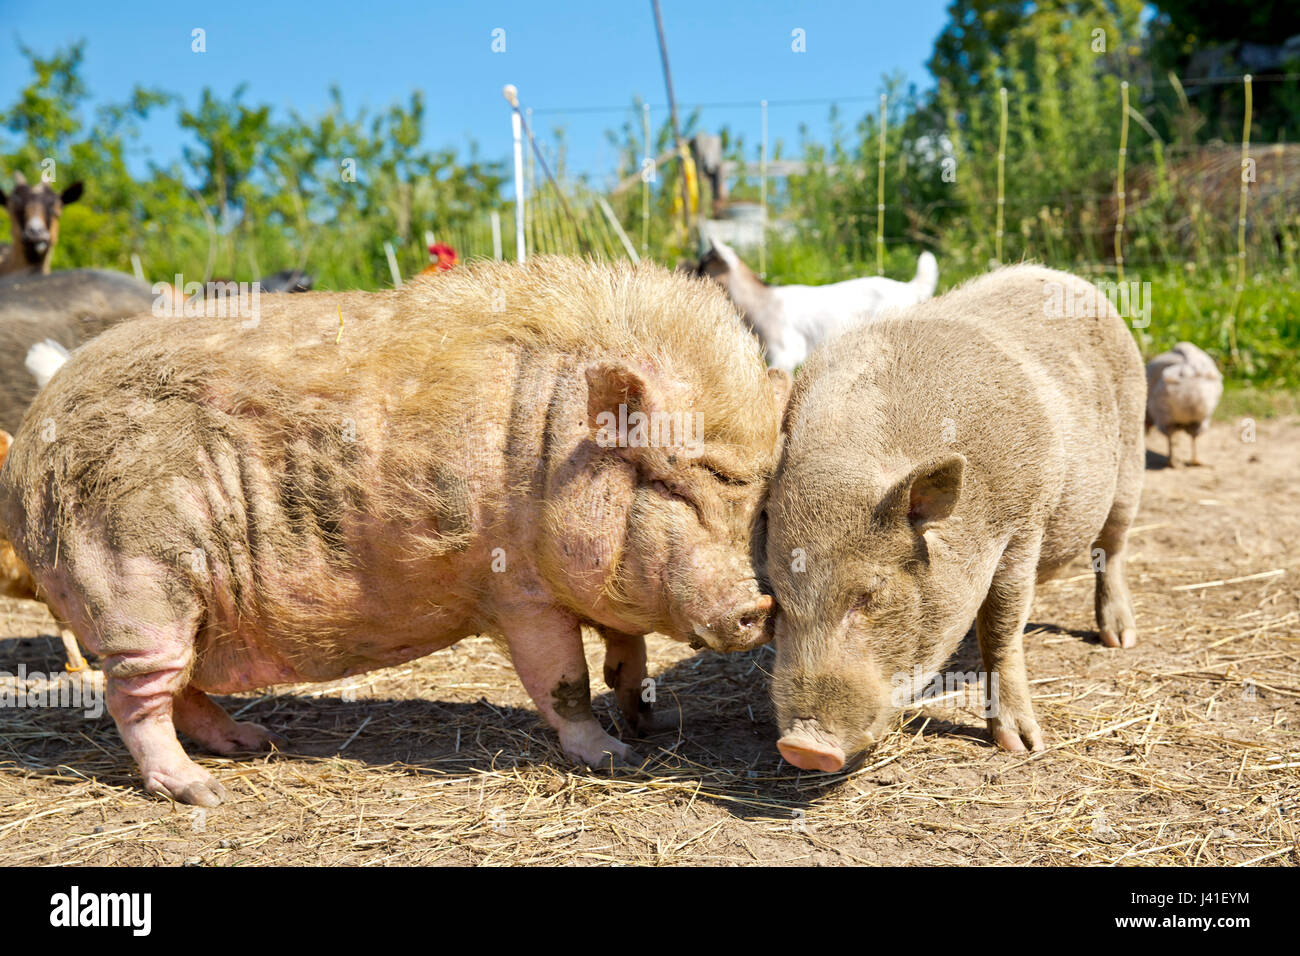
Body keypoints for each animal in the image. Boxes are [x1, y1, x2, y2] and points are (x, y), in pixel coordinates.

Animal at [0, 257, 787, 805]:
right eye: (672, 482)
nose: (758, 605)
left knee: (182, 690)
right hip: (135, 585)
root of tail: (30, 444)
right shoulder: (520, 594)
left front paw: (647, 724)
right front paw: (615, 758)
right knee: (134, 697)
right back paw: (202, 792)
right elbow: (565, 681)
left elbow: (630, 656)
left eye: (758, 496)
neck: (554, 452)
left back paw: (254, 742)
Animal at [765, 265, 1145, 772]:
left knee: (1113, 548)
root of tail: (1064, 277)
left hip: (1131, 457)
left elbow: (1001, 629)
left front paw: (1023, 746)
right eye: (777, 598)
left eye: (870, 593)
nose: (803, 747)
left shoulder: (1025, 523)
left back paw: (1119, 639)